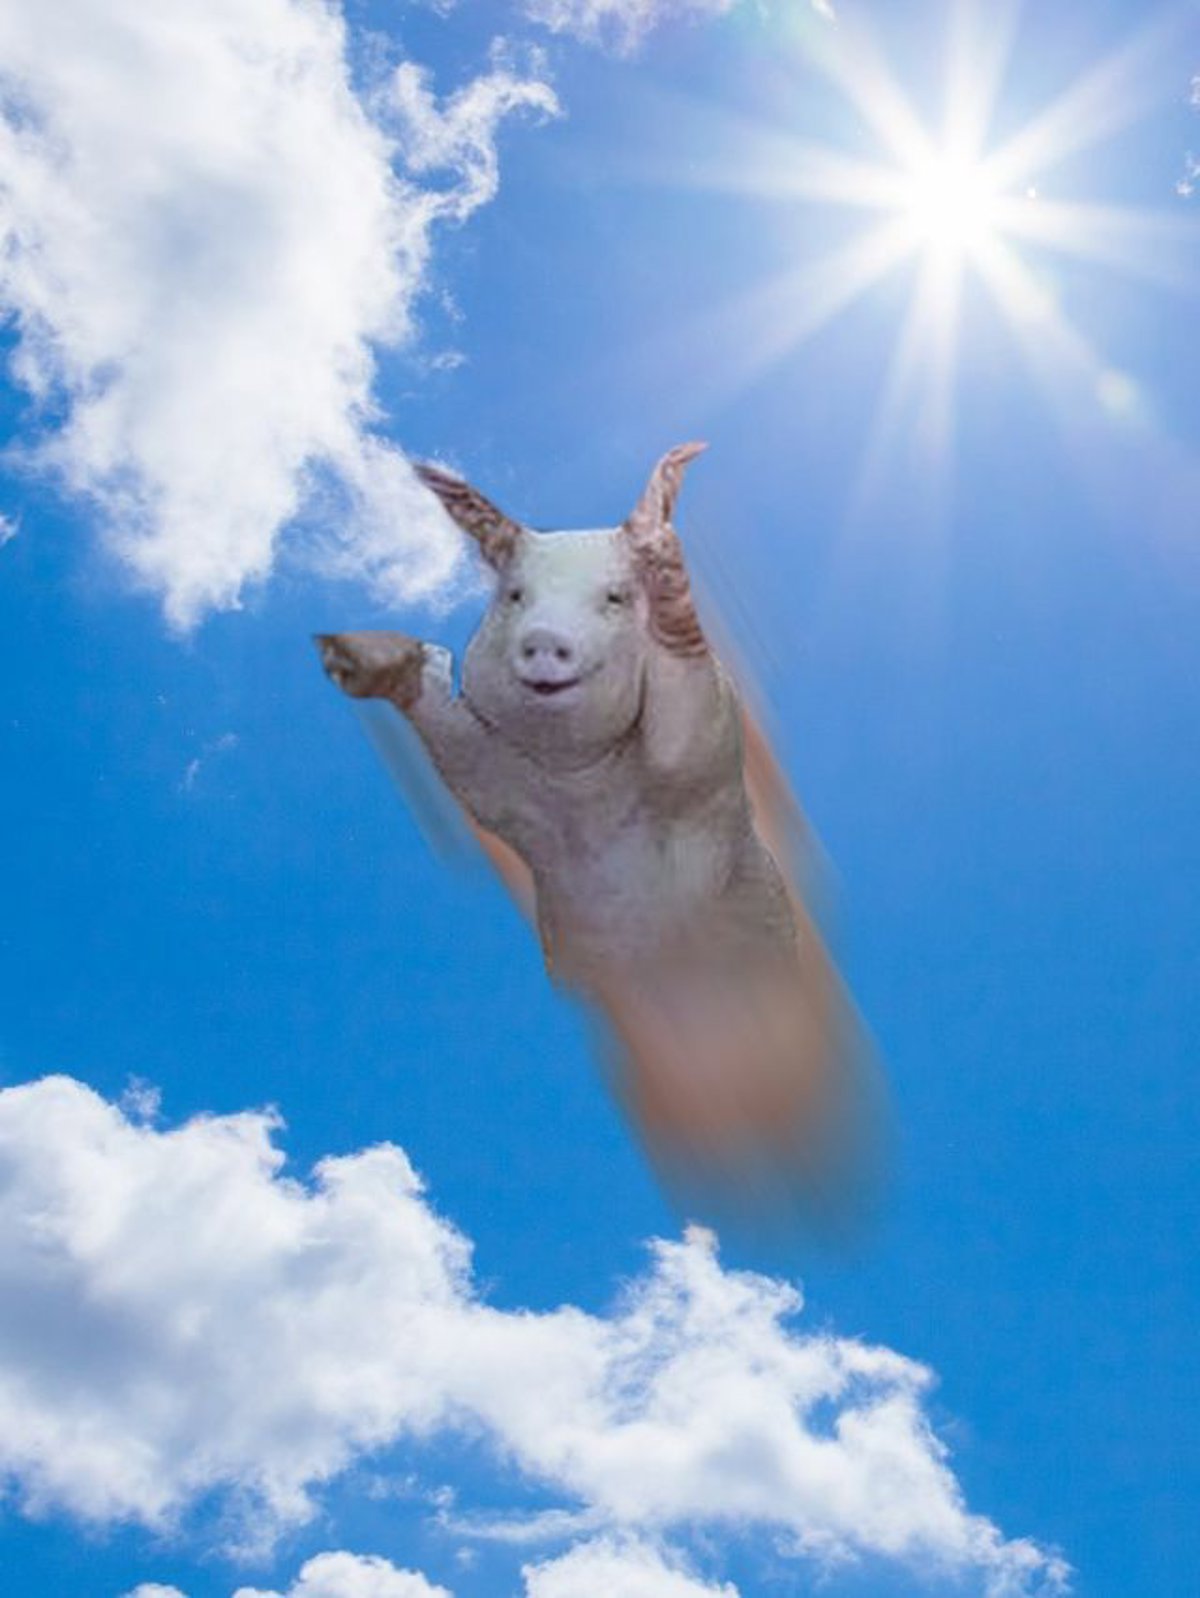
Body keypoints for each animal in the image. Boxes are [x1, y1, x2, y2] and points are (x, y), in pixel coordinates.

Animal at [317, 445, 874, 1221]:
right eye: (514, 596)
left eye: (614, 598)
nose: (545, 644)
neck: (582, 787)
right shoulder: (504, 794)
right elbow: (461, 756)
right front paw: (353, 656)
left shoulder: (705, 763)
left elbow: (687, 717)